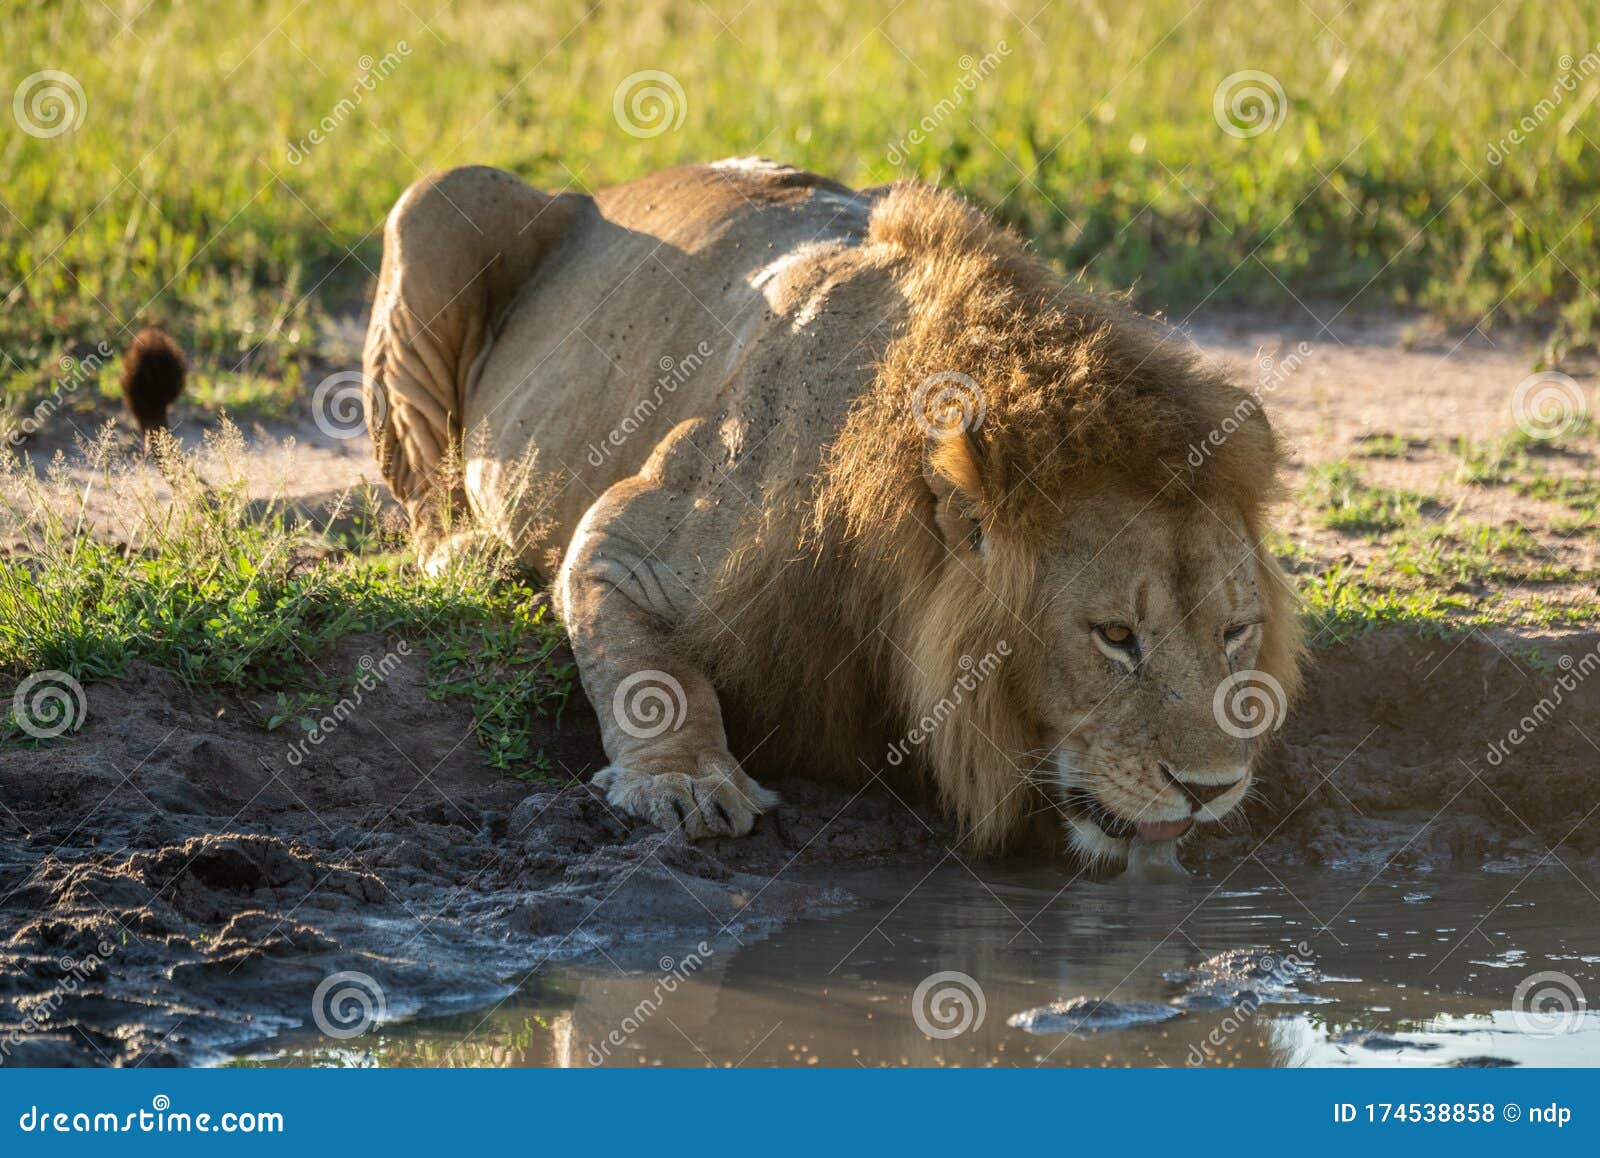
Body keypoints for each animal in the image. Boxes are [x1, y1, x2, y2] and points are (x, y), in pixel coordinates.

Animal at [362, 158, 1303, 866]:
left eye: (1236, 633)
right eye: (1114, 637)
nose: (1214, 790)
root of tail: (601, 186)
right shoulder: (627, 540)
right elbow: (651, 678)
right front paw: (687, 783)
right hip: (436, 201)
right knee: (425, 495)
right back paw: (467, 554)